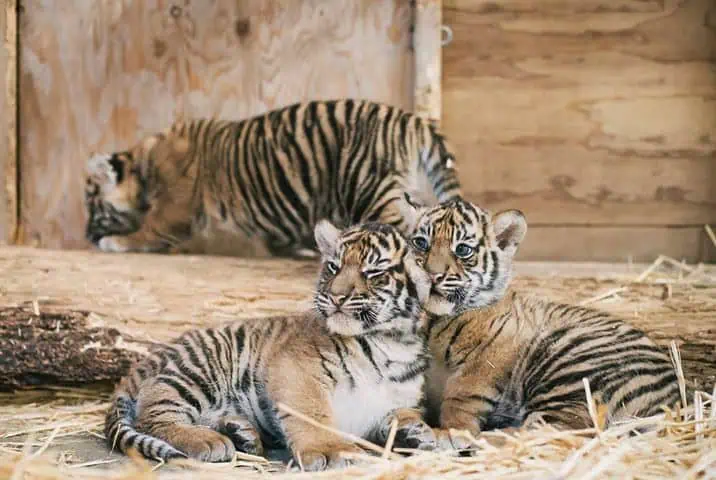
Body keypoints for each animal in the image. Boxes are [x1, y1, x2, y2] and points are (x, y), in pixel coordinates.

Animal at [85, 99, 462, 258]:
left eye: (92, 205)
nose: (87, 236)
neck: (143, 164)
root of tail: (410, 119)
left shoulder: (174, 211)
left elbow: (148, 230)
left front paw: (115, 242)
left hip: (369, 184)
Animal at [104, 219, 438, 470]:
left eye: (374, 272)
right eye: (333, 267)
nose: (336, 296)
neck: (390, 343)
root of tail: (138, 366)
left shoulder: (393, 401)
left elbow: (402, 416)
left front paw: (418, 434)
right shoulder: (297, 369)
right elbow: (312, 412)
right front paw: (330, 450)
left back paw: (241, 433)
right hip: (198, 370)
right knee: (153, 414)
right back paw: (210, 440)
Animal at [399, 195, 681, 446]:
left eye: (463, 250)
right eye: (421, 243)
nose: (431, 274)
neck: (433, 319)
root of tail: (674, 399)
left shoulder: (489, 358)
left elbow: (461, 396)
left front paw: (448, 433)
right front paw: (406, 420)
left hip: (570, 368)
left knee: (565, 431)